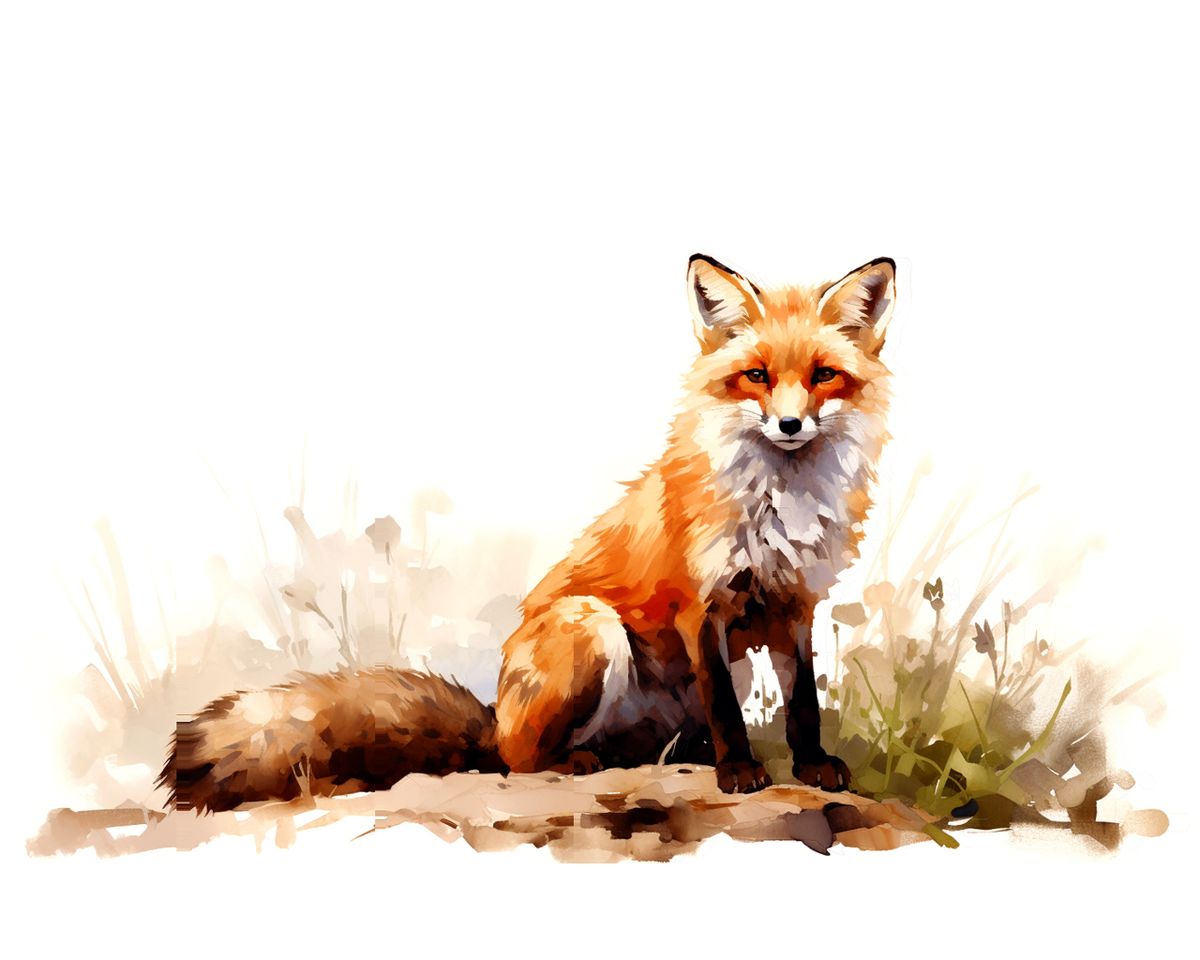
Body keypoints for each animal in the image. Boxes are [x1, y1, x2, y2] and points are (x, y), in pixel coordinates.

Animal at [160, 254, 895, 811]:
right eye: (757, 376)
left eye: (823, 376)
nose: (791, 425)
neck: (780, 502)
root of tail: (496, 718)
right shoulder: (703, 607)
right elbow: (726, 709)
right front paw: (740, 771)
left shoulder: (796, 604)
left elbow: (803, 702)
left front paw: (813, 765)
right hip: (591, 627)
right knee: (520, 762)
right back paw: (576, 764)